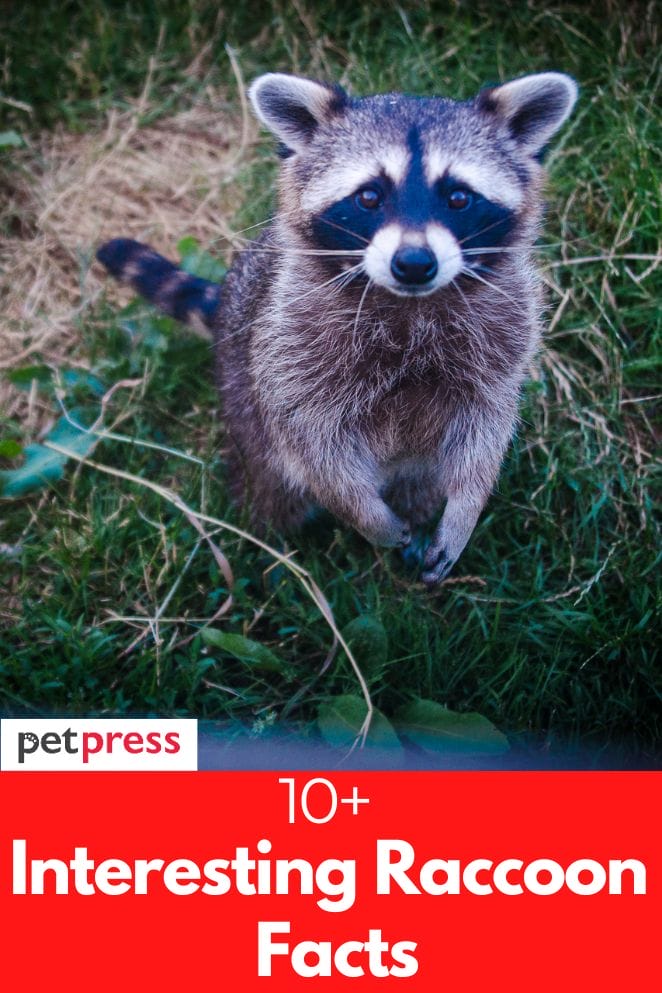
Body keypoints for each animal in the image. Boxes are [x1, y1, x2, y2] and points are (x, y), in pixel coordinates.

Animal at [98, 70, 577, 584]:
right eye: (369, 196)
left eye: (458, 197)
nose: (414, 263)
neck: (408, 303)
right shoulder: (290, 346)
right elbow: (312, 444)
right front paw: (364, 514)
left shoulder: (503, 336)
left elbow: (486, 430)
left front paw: (466, 507)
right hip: (241, 396)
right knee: (270, 488)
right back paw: (268, 546)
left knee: (422, 481)